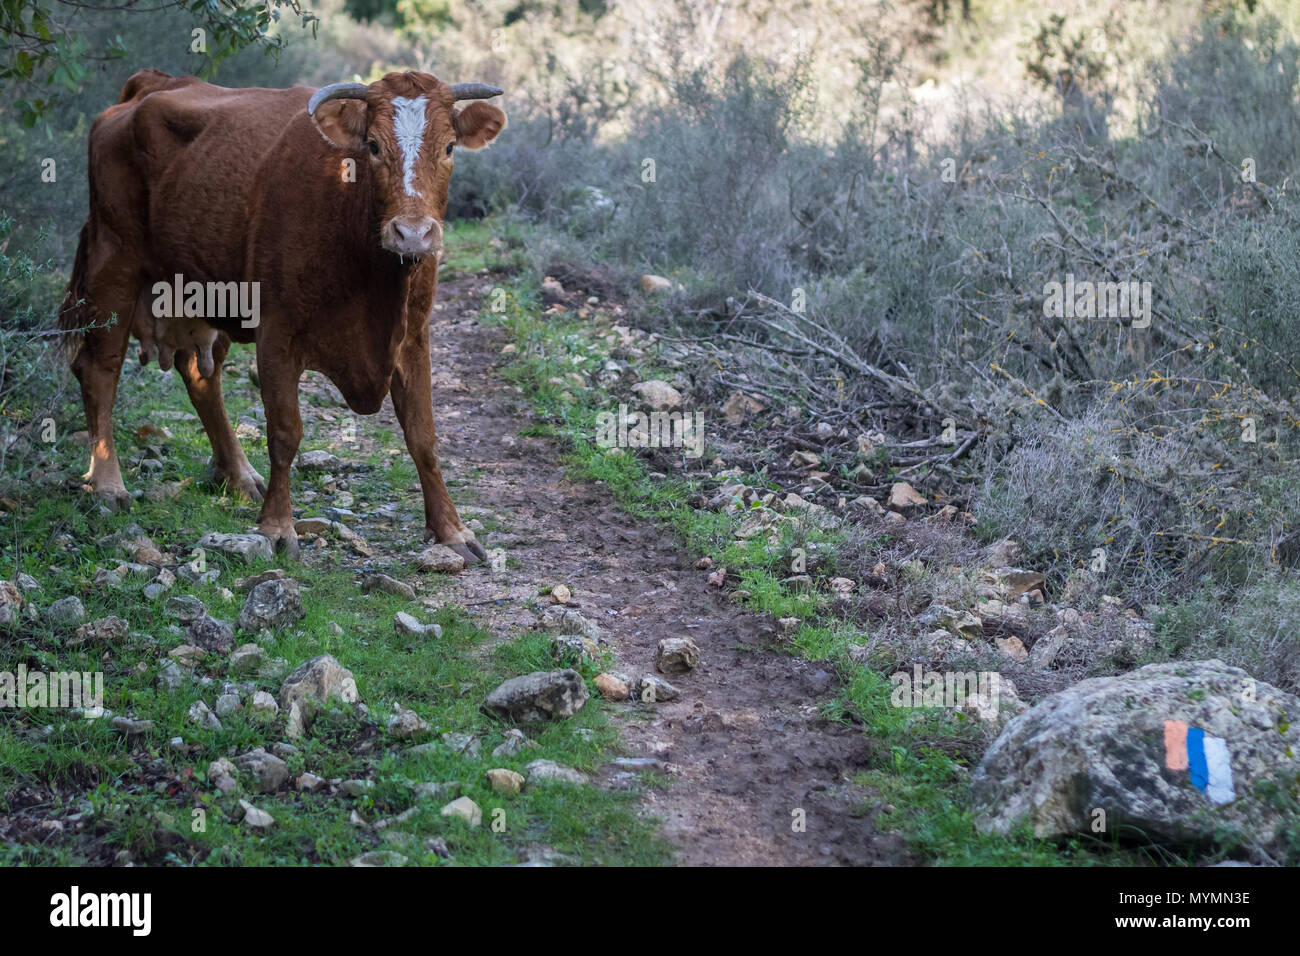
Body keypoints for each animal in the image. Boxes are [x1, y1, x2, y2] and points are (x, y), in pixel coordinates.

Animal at [58, 69, 507, 564]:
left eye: (449, 147)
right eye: (372, 145)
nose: (412, 233)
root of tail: (154, 83)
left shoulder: (413, 337)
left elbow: (422, 435)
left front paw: (451, 530)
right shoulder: (278, 332)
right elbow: (285, 432)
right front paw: (277, 526)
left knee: (199, 375)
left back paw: (238, 474)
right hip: (113, 261)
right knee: (100, 370)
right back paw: (107, 482)